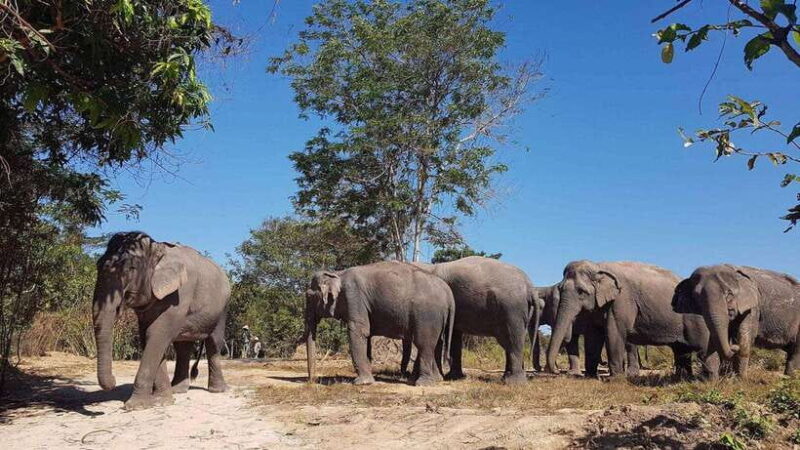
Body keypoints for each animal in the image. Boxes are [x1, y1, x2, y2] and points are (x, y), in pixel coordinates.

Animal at [92, 232, 231, 410]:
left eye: (131, 268)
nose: (114, 380)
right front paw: (163, 401)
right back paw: (178, 390)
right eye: (98, 265)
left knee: (213, 342)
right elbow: (148, 335)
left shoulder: (180, 293)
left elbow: (157, 333)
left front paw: (136, 406)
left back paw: (217, 390)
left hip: (222, 307)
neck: (157, 247)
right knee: (183, 347)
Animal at [303, 261, 455, 386]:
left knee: (424, 344)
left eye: (308, 296)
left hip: (427, 315)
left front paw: (362, 383)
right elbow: (367, 336)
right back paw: (435, 379)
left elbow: (358, 331)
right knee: (437, 343)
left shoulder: (354, 297)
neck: (338, 273)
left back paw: (423, 383)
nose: (313, 381)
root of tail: (448, 293)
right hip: (438, 317)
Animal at [414, 256, 540, 384]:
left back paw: (513, 382)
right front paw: (454, 377)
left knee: (513, 340)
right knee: (508, 342)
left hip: (512, 310)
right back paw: (508, 377)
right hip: (521, 312)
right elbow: (454, 335)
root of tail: (530, 287)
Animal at [547, 260, 709, 379]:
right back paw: (682, 378)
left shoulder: (622, 300)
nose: (556, 371)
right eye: (560, 289)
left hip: (693, 319)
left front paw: (614, 379)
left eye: (581, 291)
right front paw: (590, 377)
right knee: (681, 349)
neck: (598, 266)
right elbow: (593, 335)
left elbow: (614, 332)